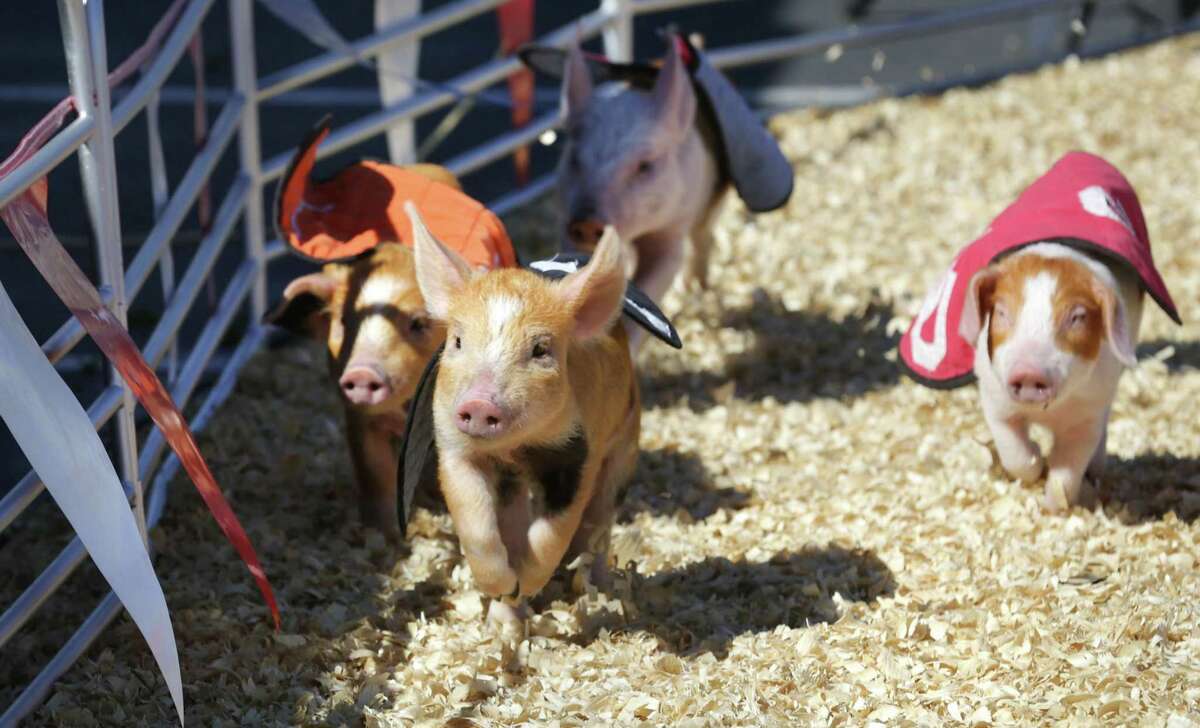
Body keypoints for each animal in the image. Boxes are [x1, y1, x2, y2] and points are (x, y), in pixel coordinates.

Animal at [267, 232, 446, 541]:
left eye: (418, 323)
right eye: (343, 320)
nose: (363, 372)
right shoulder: (360, 418)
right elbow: (374, 470)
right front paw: (384, 533)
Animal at [407, 200, 640, 628]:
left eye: (541, 350)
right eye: (457, 341)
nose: (479, 403)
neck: (516, 449)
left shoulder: (578, 455)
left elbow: (551, 533)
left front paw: (528, 582)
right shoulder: (454, 449)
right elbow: (476, 525)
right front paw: (504, 586)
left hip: (626, 445)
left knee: (600, 523)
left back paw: (597, 589)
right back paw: (507, 622)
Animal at [557, 39, 726, 348]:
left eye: (645, 165)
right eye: (574, 158)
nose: (586, 221)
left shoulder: (673, 228)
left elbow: (662, 268)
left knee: (703, 236)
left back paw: (697, 287)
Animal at [959, 242, 1143, 513]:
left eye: (1077, 317)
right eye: (1002, 312)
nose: (1028, 372)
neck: (1047, 413)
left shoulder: (1088, 414)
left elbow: (1068, 470)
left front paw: (1053, 507)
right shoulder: (994, 399)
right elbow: (1015, 454)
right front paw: (1037, 462)